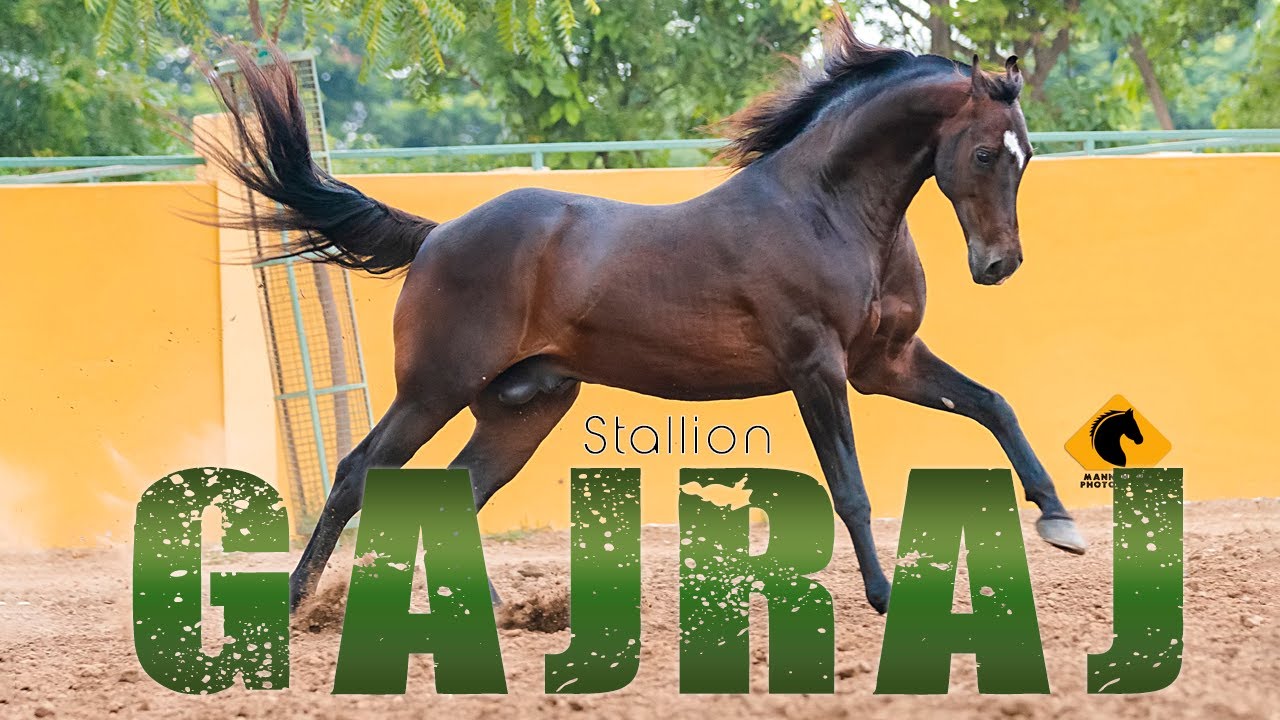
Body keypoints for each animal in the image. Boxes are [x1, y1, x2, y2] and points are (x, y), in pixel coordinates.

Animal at [202, 7, 1086, 616]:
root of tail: (437, 234)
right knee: (357, 473)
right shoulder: (818, 369)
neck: (828, 210)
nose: (998, 264)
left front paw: (1060, 523)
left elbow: (993, 406)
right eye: (983, 152)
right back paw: (297, 603)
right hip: (432, 390)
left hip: (522, 411)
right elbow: (852, 487)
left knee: (453, 490)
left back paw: (491, 611)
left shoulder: (885, 364)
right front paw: (883, 598)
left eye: (1026, 156)